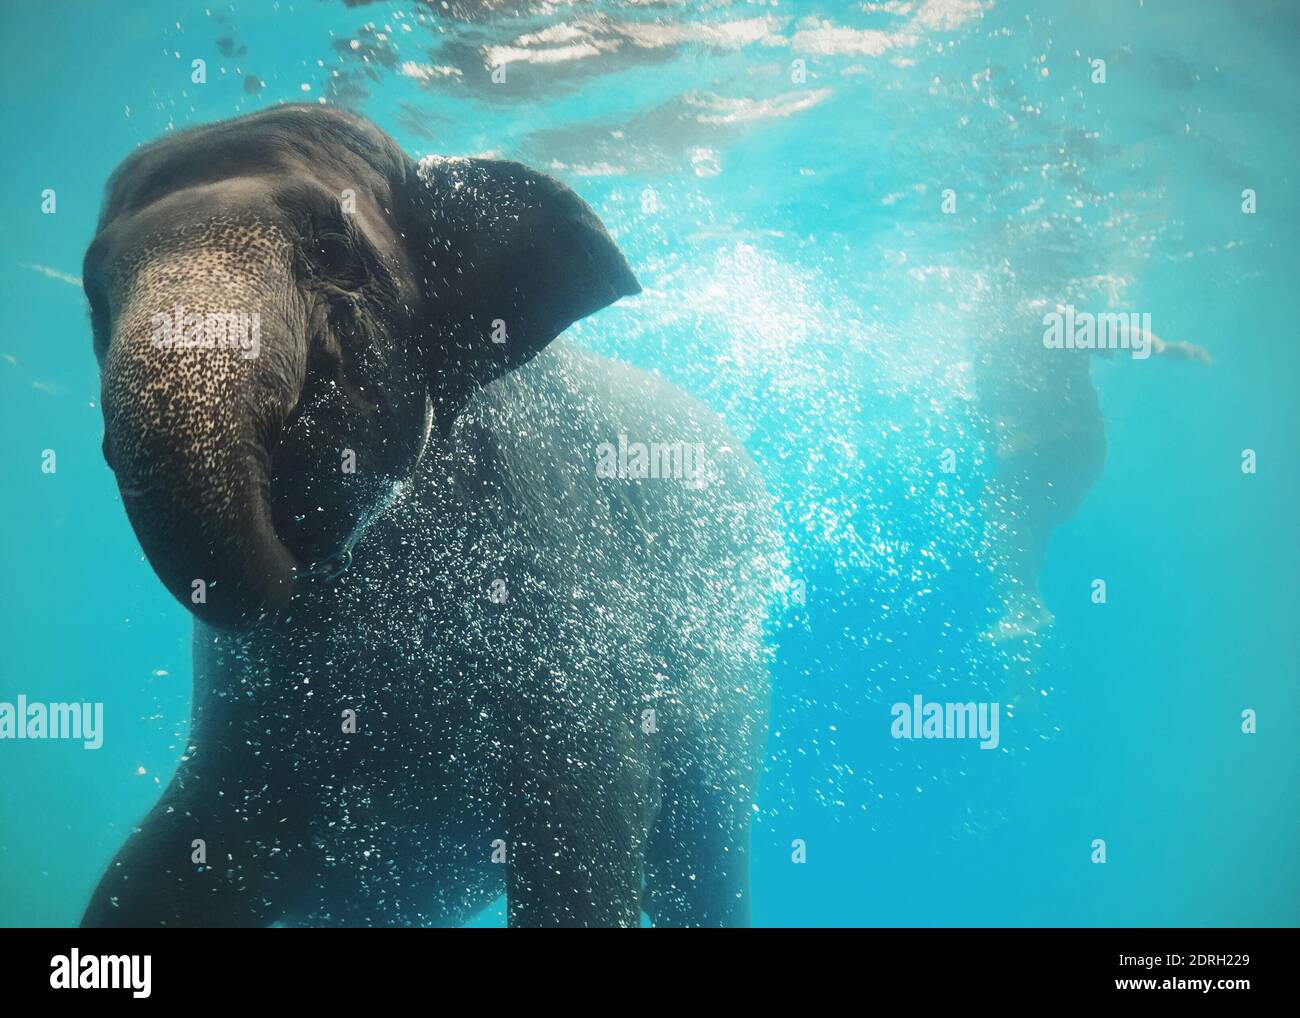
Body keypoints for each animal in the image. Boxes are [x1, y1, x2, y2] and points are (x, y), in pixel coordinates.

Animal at [79, 104, 780, 927]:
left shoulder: (562, 572)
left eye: (330, 248)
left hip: (734, 696)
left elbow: (586, 817)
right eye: (94, 299)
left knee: (705, 859)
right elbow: (162, 863)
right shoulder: (237, 726)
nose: (291, 565)